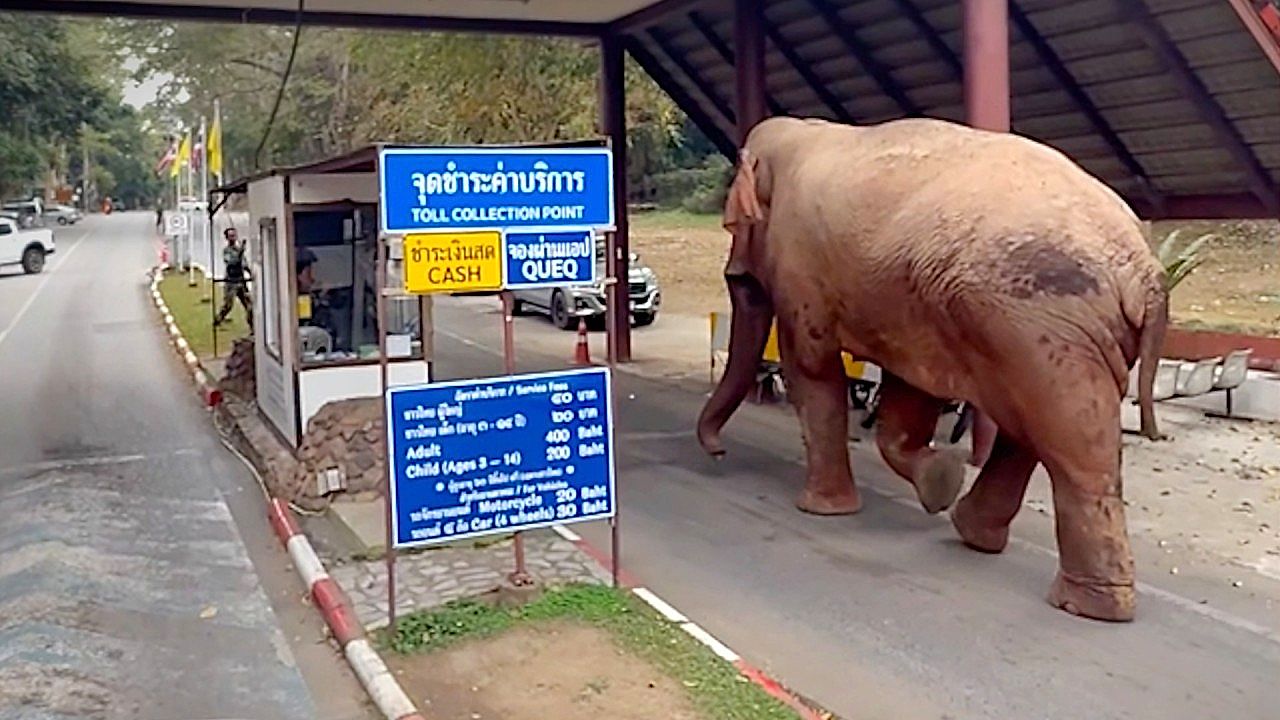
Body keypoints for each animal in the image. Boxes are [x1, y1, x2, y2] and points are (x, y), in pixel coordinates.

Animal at [696, 116, 1168, 622]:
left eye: (735, 227)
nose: (719, 452)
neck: (799, 133)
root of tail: (1147, 272)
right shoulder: (909, 312)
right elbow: (906, 396)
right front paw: (939, 481)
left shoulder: (802, 267)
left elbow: (813, 368)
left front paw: (824, 510)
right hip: (1064, 337)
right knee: (1033, 435)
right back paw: (976, 534)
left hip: (1046, 329)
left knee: (1071, 452)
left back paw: (1086, 605)